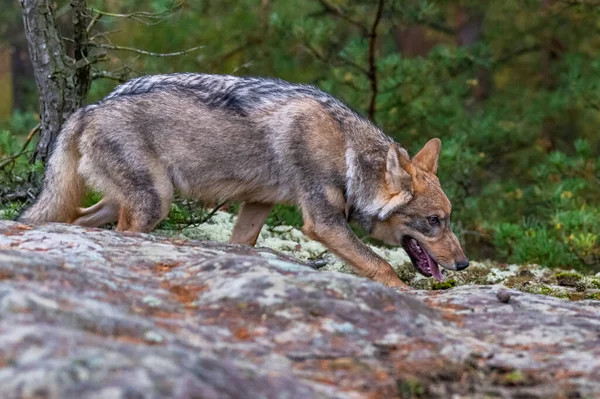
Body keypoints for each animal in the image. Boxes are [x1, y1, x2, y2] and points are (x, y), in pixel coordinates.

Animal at [18, 73, 468, 288]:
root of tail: (86, 110)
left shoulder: (257, 206)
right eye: (434, 222)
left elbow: (240, 246)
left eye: (447, 219)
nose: (464, 264)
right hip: (154, 204)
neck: (347, 151)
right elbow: (382, 267)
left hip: (124, 201)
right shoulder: (322, 223)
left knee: (75, 221)